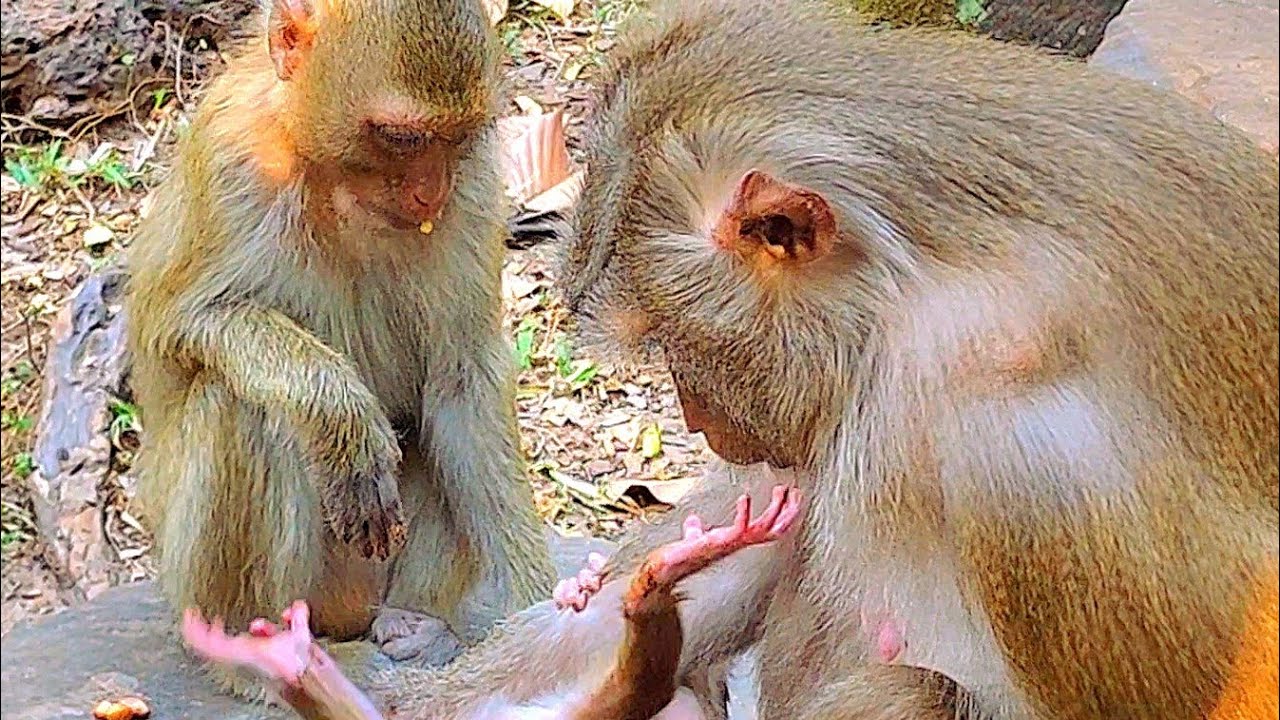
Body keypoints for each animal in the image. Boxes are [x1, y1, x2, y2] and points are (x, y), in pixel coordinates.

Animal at [125, 0, 556, 696]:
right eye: (402, 137)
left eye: (458, 136)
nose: (431, 192)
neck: (333, 182)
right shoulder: (227, 161)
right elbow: (181, 323)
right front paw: (341, 417)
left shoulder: (476, 187)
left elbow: (464, 379)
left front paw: (543, 620)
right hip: (208, 580)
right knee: (240, 405)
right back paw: (261, 659)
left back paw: (422, 634)